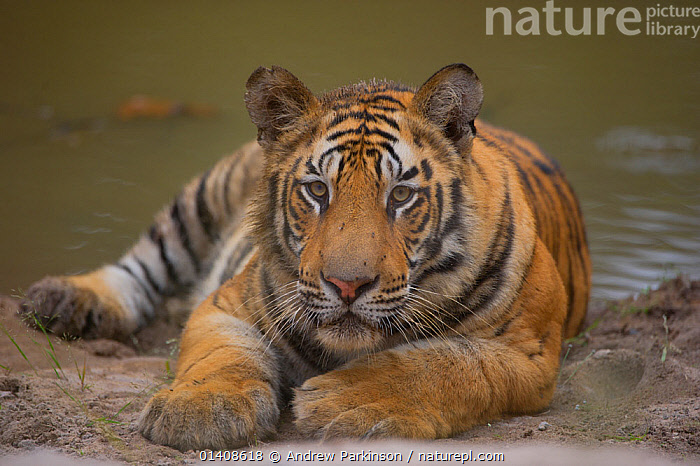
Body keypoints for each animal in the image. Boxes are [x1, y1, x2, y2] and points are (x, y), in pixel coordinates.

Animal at [20, 64, 591, 451]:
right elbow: (220, 354)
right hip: (202, 199)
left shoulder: (529, 353)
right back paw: (63, 301)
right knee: (142, 263)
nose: (347, 285)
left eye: (401, 196)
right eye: (318, 190)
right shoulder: (226, 303)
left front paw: (347, 402)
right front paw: (200, 409)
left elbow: (445, 365)